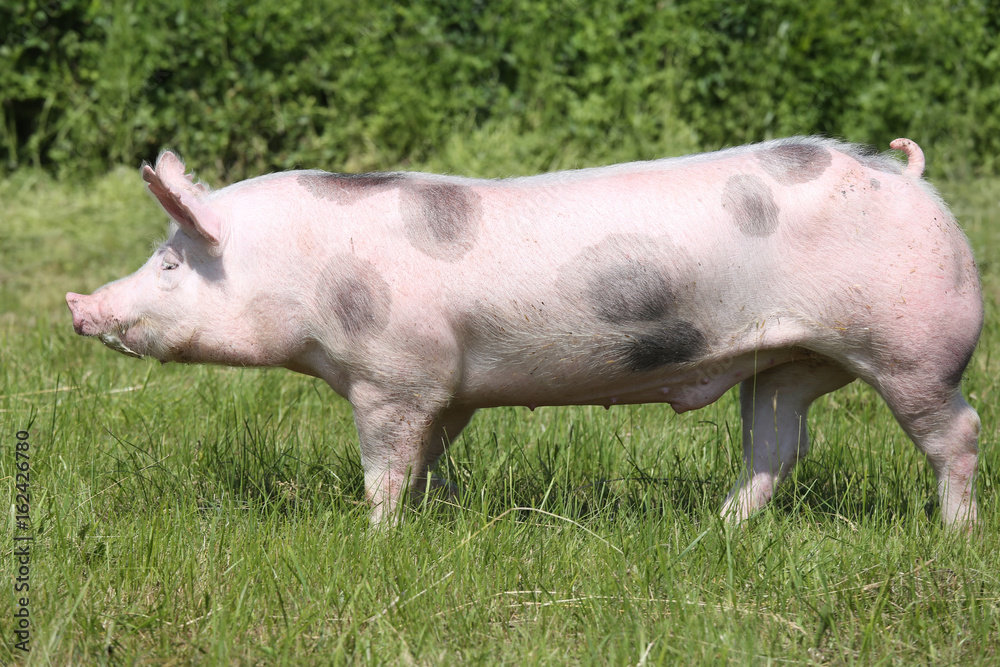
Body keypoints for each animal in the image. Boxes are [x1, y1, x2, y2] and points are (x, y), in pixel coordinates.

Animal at [66, 137, 983, 527]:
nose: (79, 305)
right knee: (777, 446)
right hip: (786, 361)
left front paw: (373, 534)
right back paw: (719, 528)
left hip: (913, 345)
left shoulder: (391, 374)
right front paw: (433, 515)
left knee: (959, 429)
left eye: (170, 263)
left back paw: (955, 533)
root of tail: (907, 174)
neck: (302, 274)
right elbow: (428, 458)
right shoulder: (445, 383)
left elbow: (384, 466)